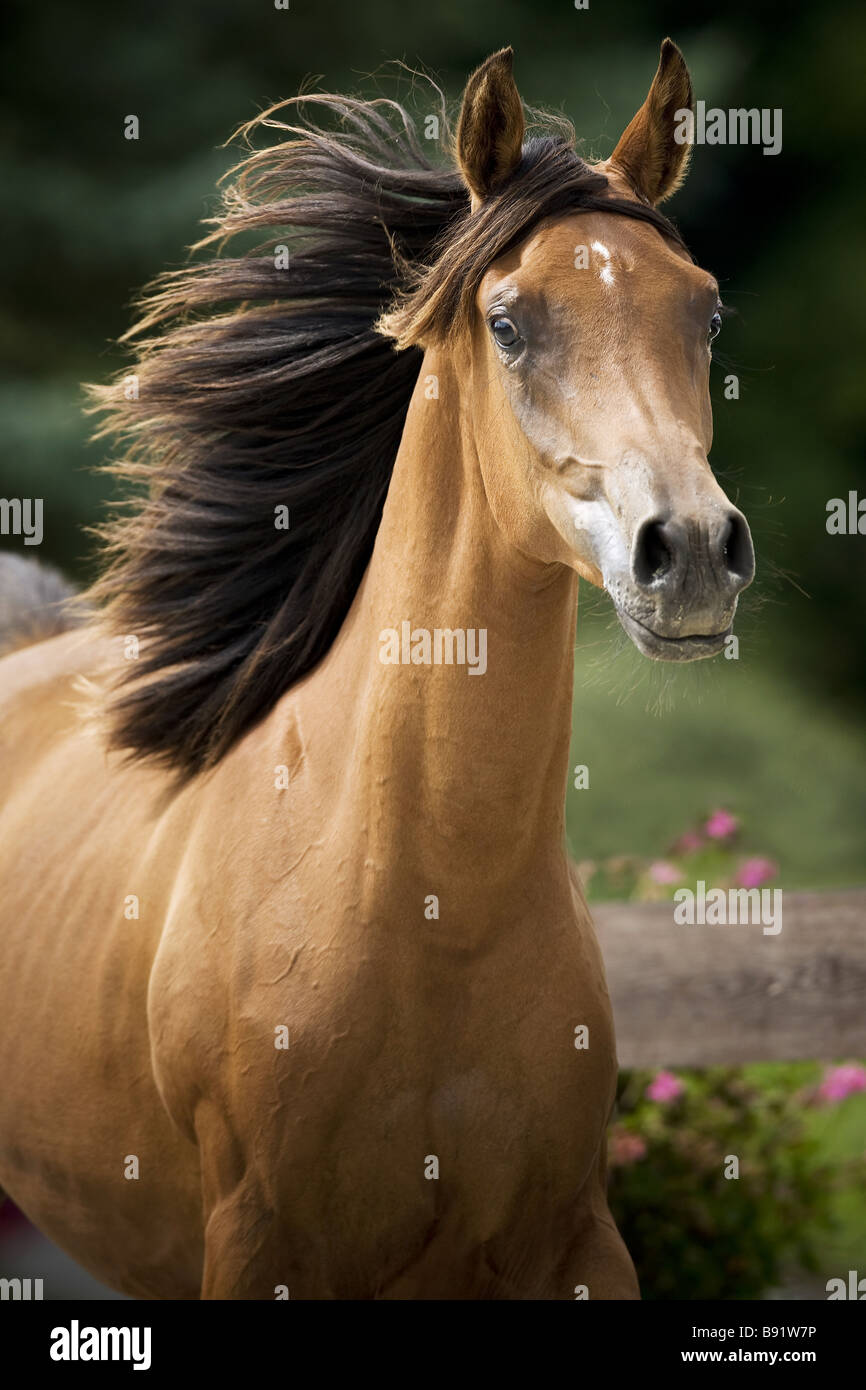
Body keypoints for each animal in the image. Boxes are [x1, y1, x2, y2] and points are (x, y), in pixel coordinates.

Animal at [0, 41, 754, 1299]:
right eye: (507, 321)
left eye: (702, 309)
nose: (690, 553)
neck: (430, 909)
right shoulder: (258, 1241)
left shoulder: (572, 1236)